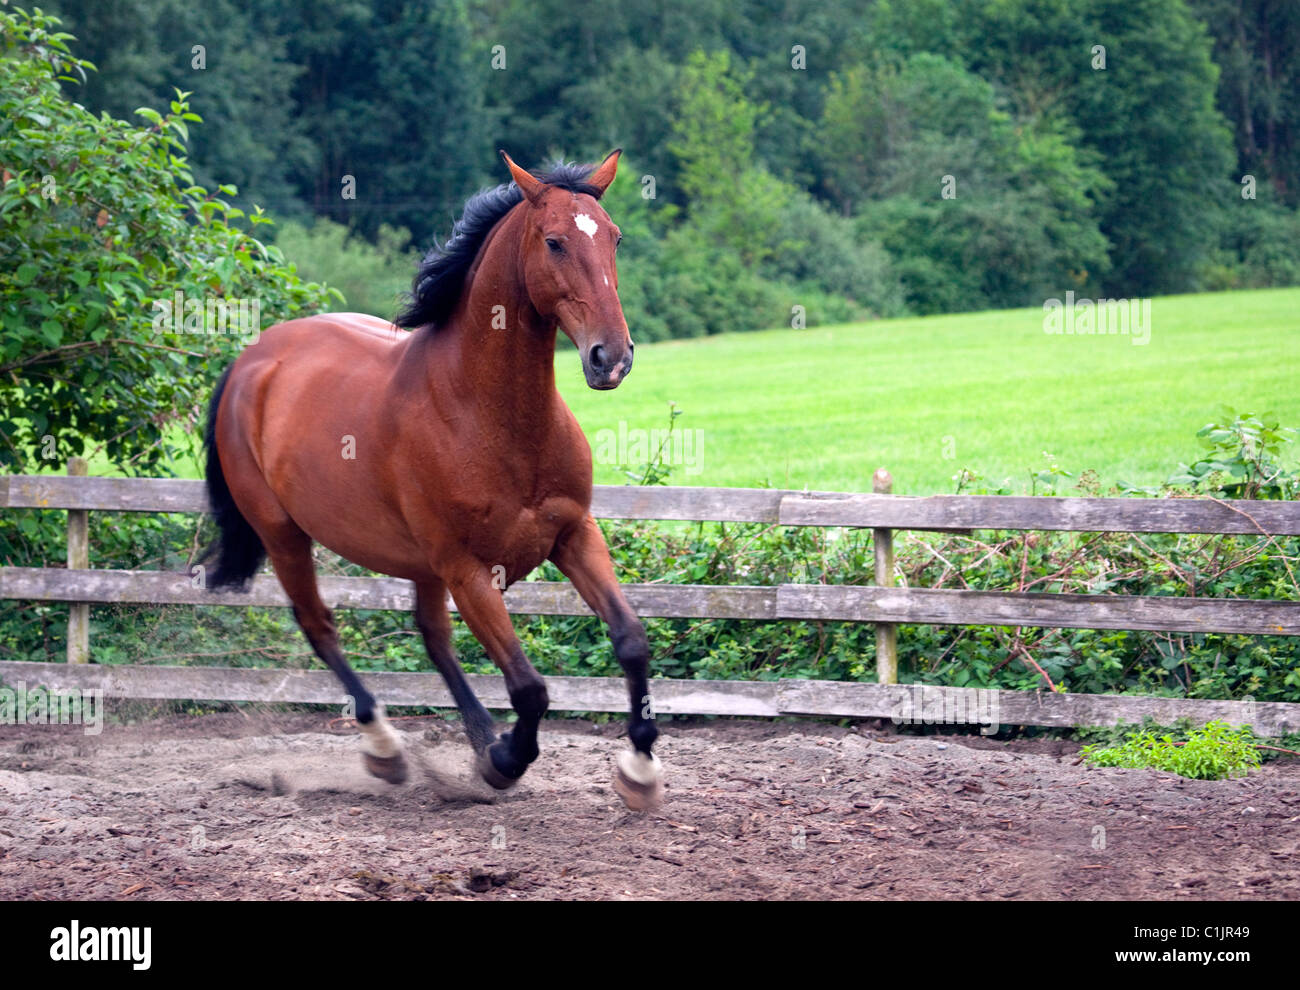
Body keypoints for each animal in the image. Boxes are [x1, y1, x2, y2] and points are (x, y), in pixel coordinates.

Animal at [200, 150, 663, 810]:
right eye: (554, 242)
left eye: (614, 238)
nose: (612, 357)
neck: (487, 412)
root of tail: (252, 360)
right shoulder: (468, 570)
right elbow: (530, 688)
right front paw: (505, 762)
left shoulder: (574, 534)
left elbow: (630, 639)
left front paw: (639, 769)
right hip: (285, 536)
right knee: (321, 627)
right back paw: (388, 750)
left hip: (418, 563)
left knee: (431, 636)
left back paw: (474, 739)